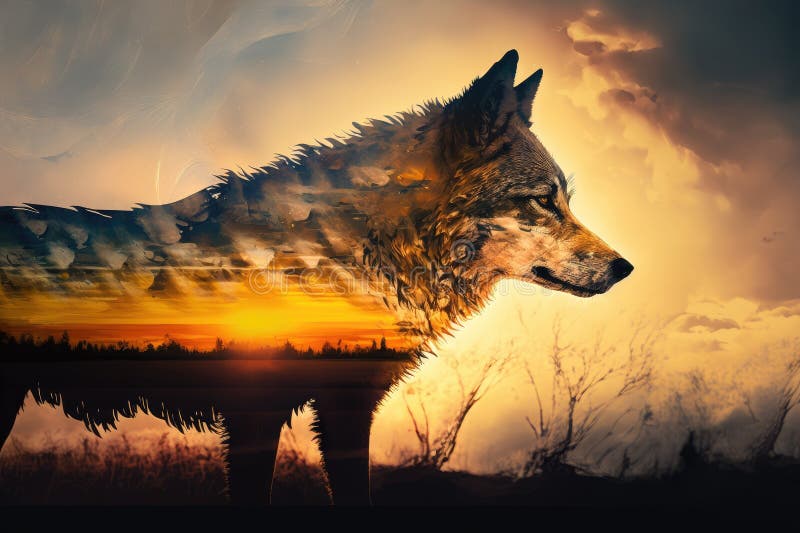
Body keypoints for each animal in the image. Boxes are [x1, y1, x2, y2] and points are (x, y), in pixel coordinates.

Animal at [0, 50, 632, 504]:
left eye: (566, 200)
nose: (625, 268)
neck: (348, 253)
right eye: (544, 201)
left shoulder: (343, 405)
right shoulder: (257, 411)